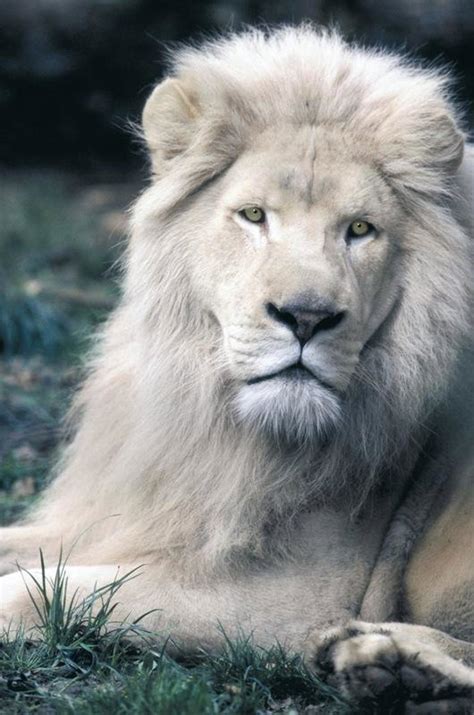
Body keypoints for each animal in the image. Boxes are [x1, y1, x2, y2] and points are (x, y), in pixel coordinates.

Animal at [1, 26, 473, 710]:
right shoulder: (130, 518)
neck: (218, 420)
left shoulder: (295, 598)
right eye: (253, 216)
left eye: (360, 229)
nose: (306, 317)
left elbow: (45, 589)